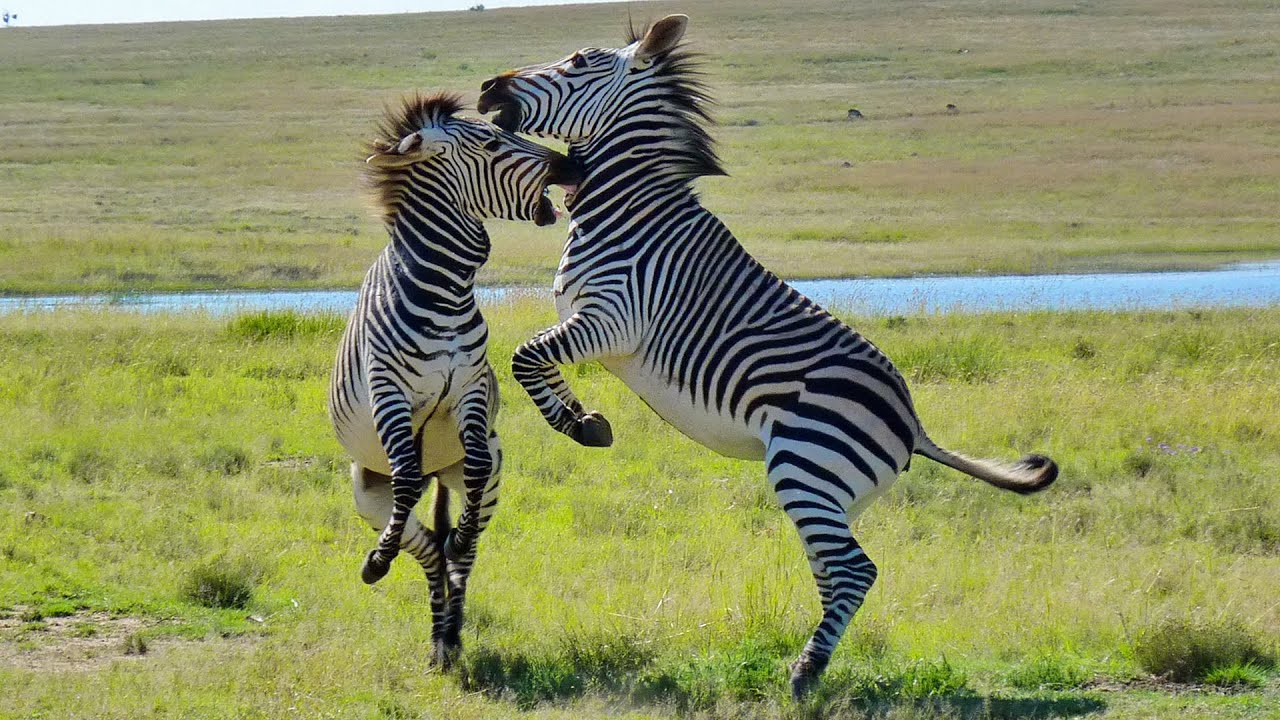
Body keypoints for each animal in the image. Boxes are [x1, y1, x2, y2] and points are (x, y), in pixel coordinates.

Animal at [328, 92, 580, 667]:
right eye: (489, 142)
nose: (571, 165)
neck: (444, 288)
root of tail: (437, 473)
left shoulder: (468, 390)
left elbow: (478, 467)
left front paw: (458, 544)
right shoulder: (389, 391)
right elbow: (402, 477)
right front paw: (376, 562)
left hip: (476, 480)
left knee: (457, 551)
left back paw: (452, 631)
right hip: (367, 492)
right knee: (422, 545)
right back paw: (432, 627)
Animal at [478, 16, 1058, 696]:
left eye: (576, 62)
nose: (487, 86)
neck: (628, 210)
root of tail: (913, 424)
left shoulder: (614, 320)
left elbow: (525, 356)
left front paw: (582, 425)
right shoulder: (589, 324)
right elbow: (533, 359)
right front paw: (581, 415)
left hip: (804, 468)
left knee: (857, 571)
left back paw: (805, 674)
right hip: (829, 493)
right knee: (835, 574)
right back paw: (815, 662)